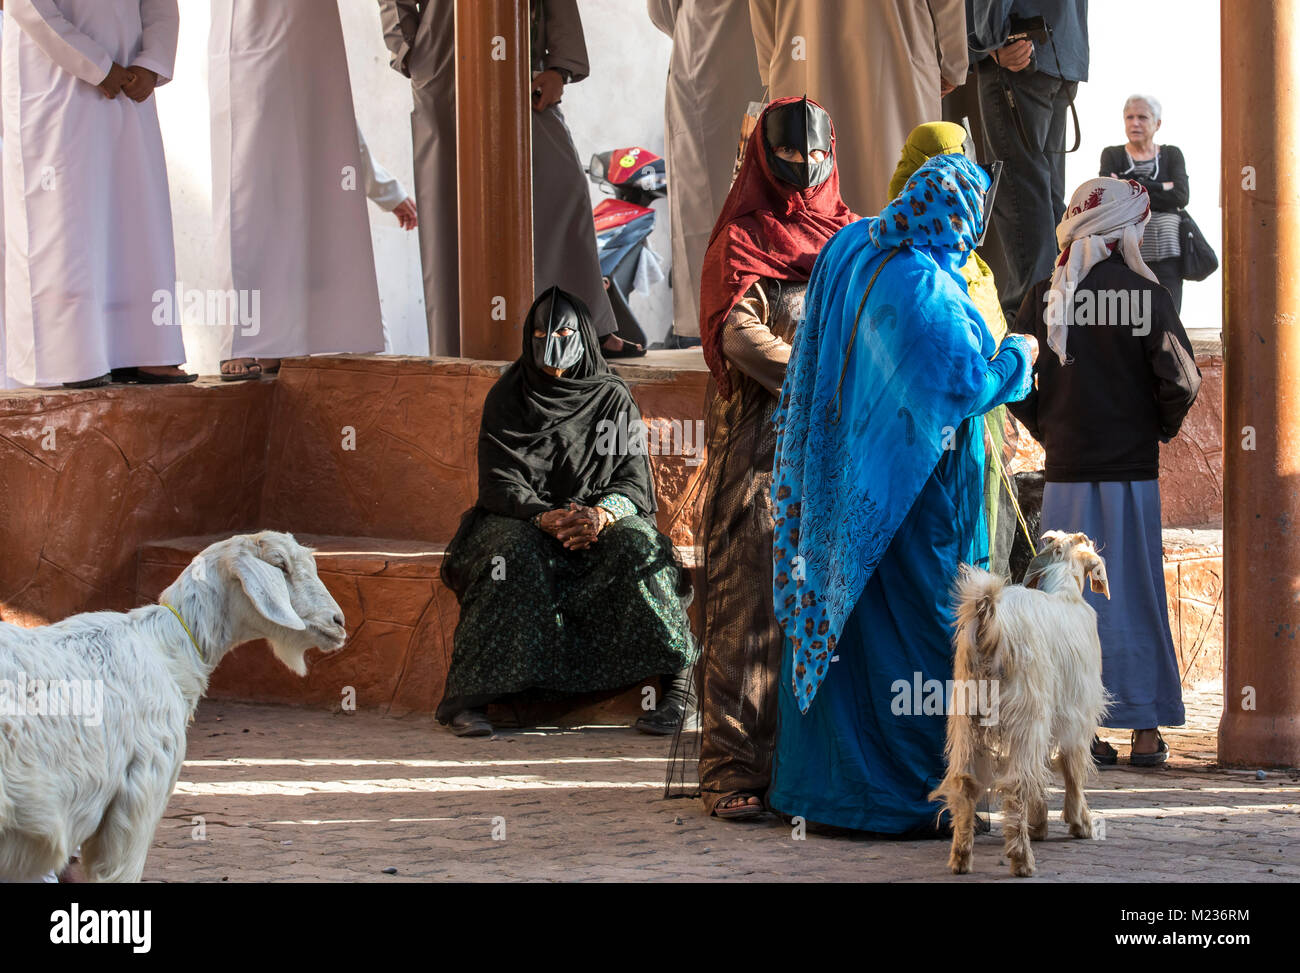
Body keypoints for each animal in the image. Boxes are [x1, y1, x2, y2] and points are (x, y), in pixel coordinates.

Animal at [930, 531, 1110, 878]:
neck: (1064, 592)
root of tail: (991, 623)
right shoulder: (1077, 711)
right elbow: (1071, 767)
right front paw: (1079, 823)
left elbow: (1043, 771)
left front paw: (1039, 824)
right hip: (1027, 714)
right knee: (1015, 785)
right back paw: (1022, 860)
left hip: (967, 717)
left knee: (967, 782)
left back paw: (961, 857)